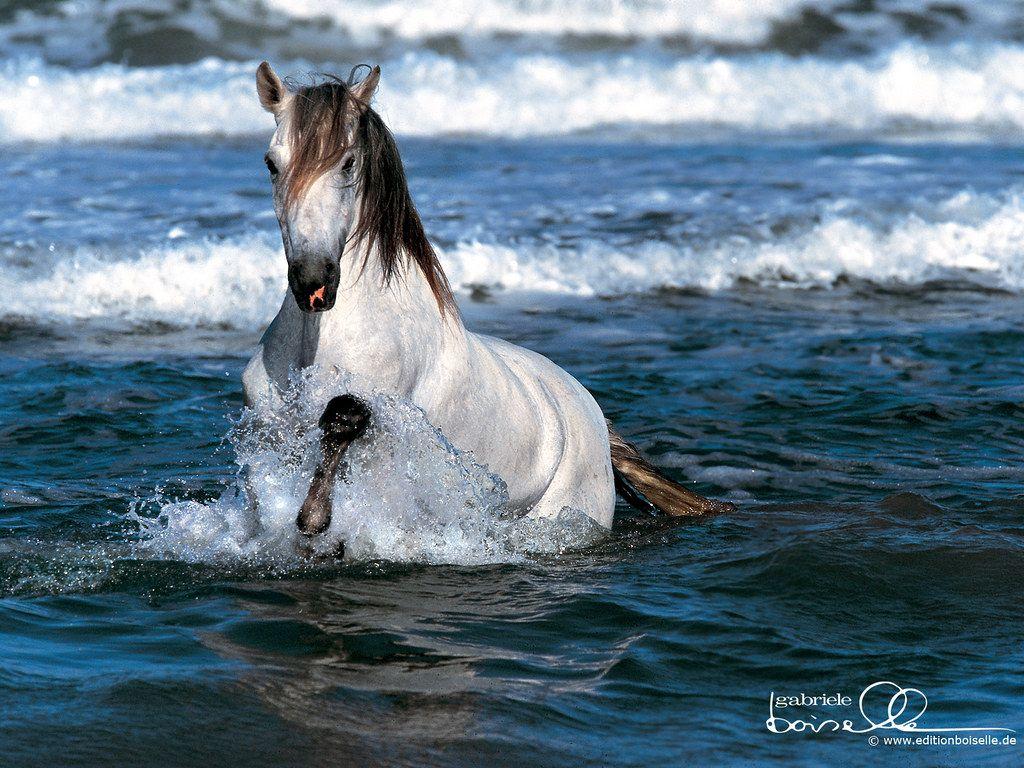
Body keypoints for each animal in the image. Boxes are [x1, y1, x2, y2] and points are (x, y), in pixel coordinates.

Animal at [242, 62, 731, 539]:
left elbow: (343, 417)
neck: (319, 341)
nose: (313, 283)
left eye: (348, 163)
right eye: (270, 163)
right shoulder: (268, 428)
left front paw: (314, 519)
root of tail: (593, 415)